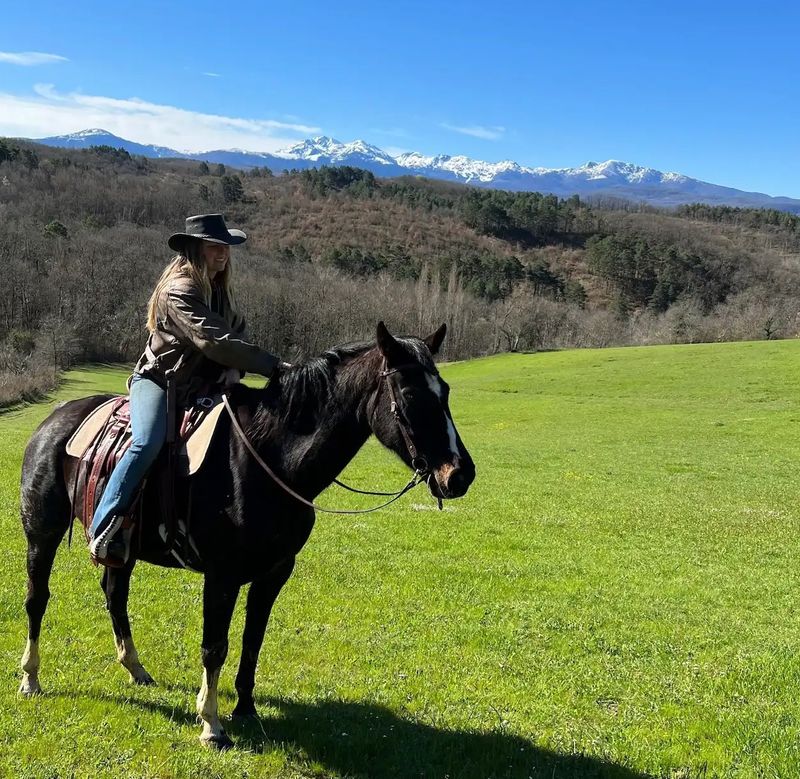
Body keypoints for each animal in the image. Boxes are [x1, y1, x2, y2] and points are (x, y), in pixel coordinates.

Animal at [18, 321, 475, 748]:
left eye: (446, 392)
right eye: (411, 396)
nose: (460, 474)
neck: (269, 460)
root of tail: (55, 419)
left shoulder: (273, 573)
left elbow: (252, 639)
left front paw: (246, 708)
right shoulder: (222, 576)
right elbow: (214, 645)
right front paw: (211, 724)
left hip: (122, 548)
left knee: (115, 594)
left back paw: (136, 669)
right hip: (42, 534)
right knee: (38, 599)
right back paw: (30, 678)